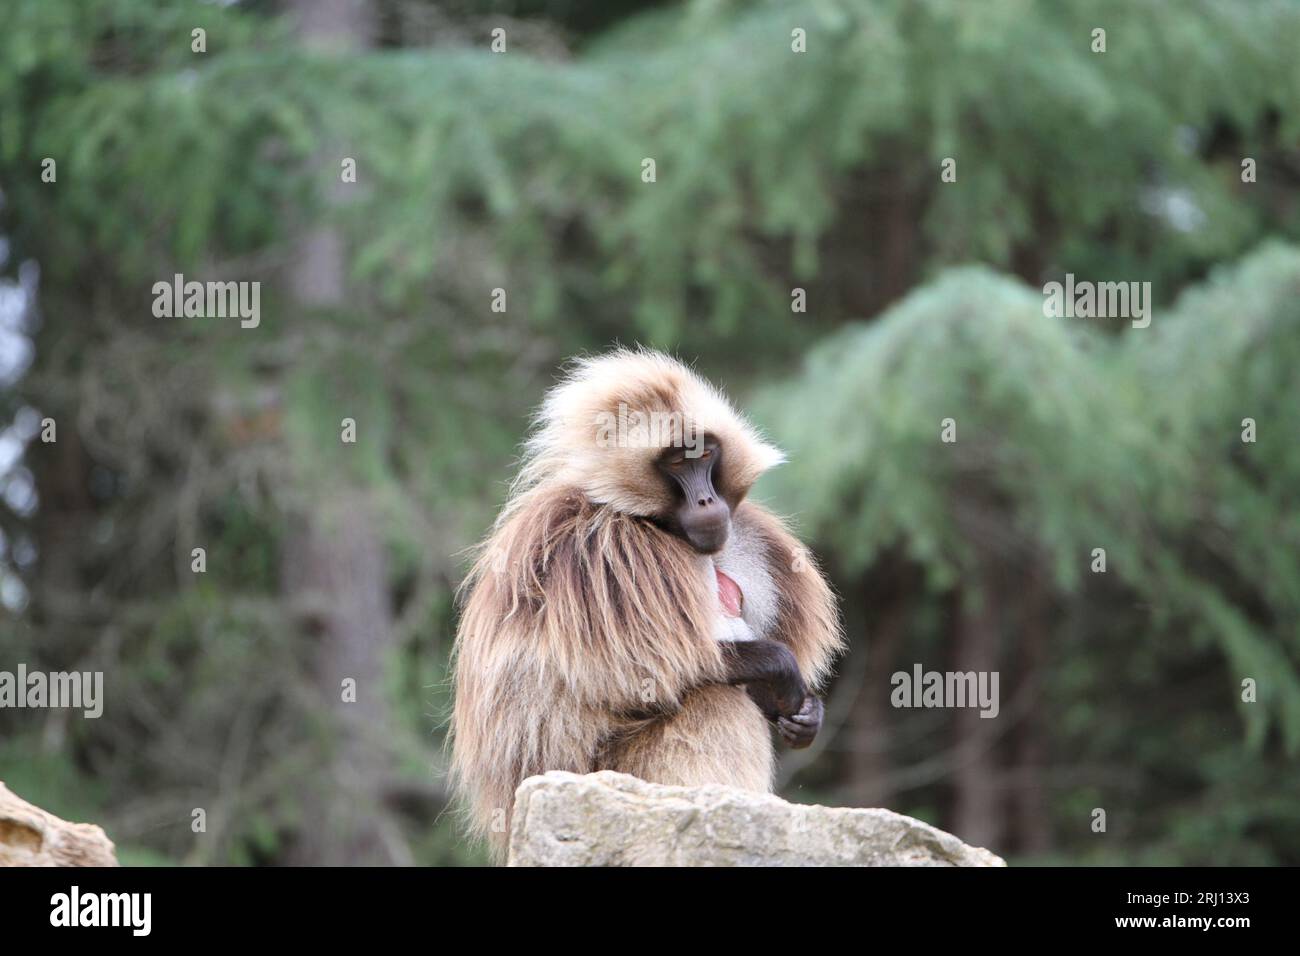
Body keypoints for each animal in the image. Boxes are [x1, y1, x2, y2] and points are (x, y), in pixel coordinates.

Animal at [450, 349, 843, 856]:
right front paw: (782, 670)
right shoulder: (603, 553)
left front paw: (806, 715)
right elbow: (643, 671)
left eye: (705, 453)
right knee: (713, 701)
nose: (706, 500)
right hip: (600, 779)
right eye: (677, 461)